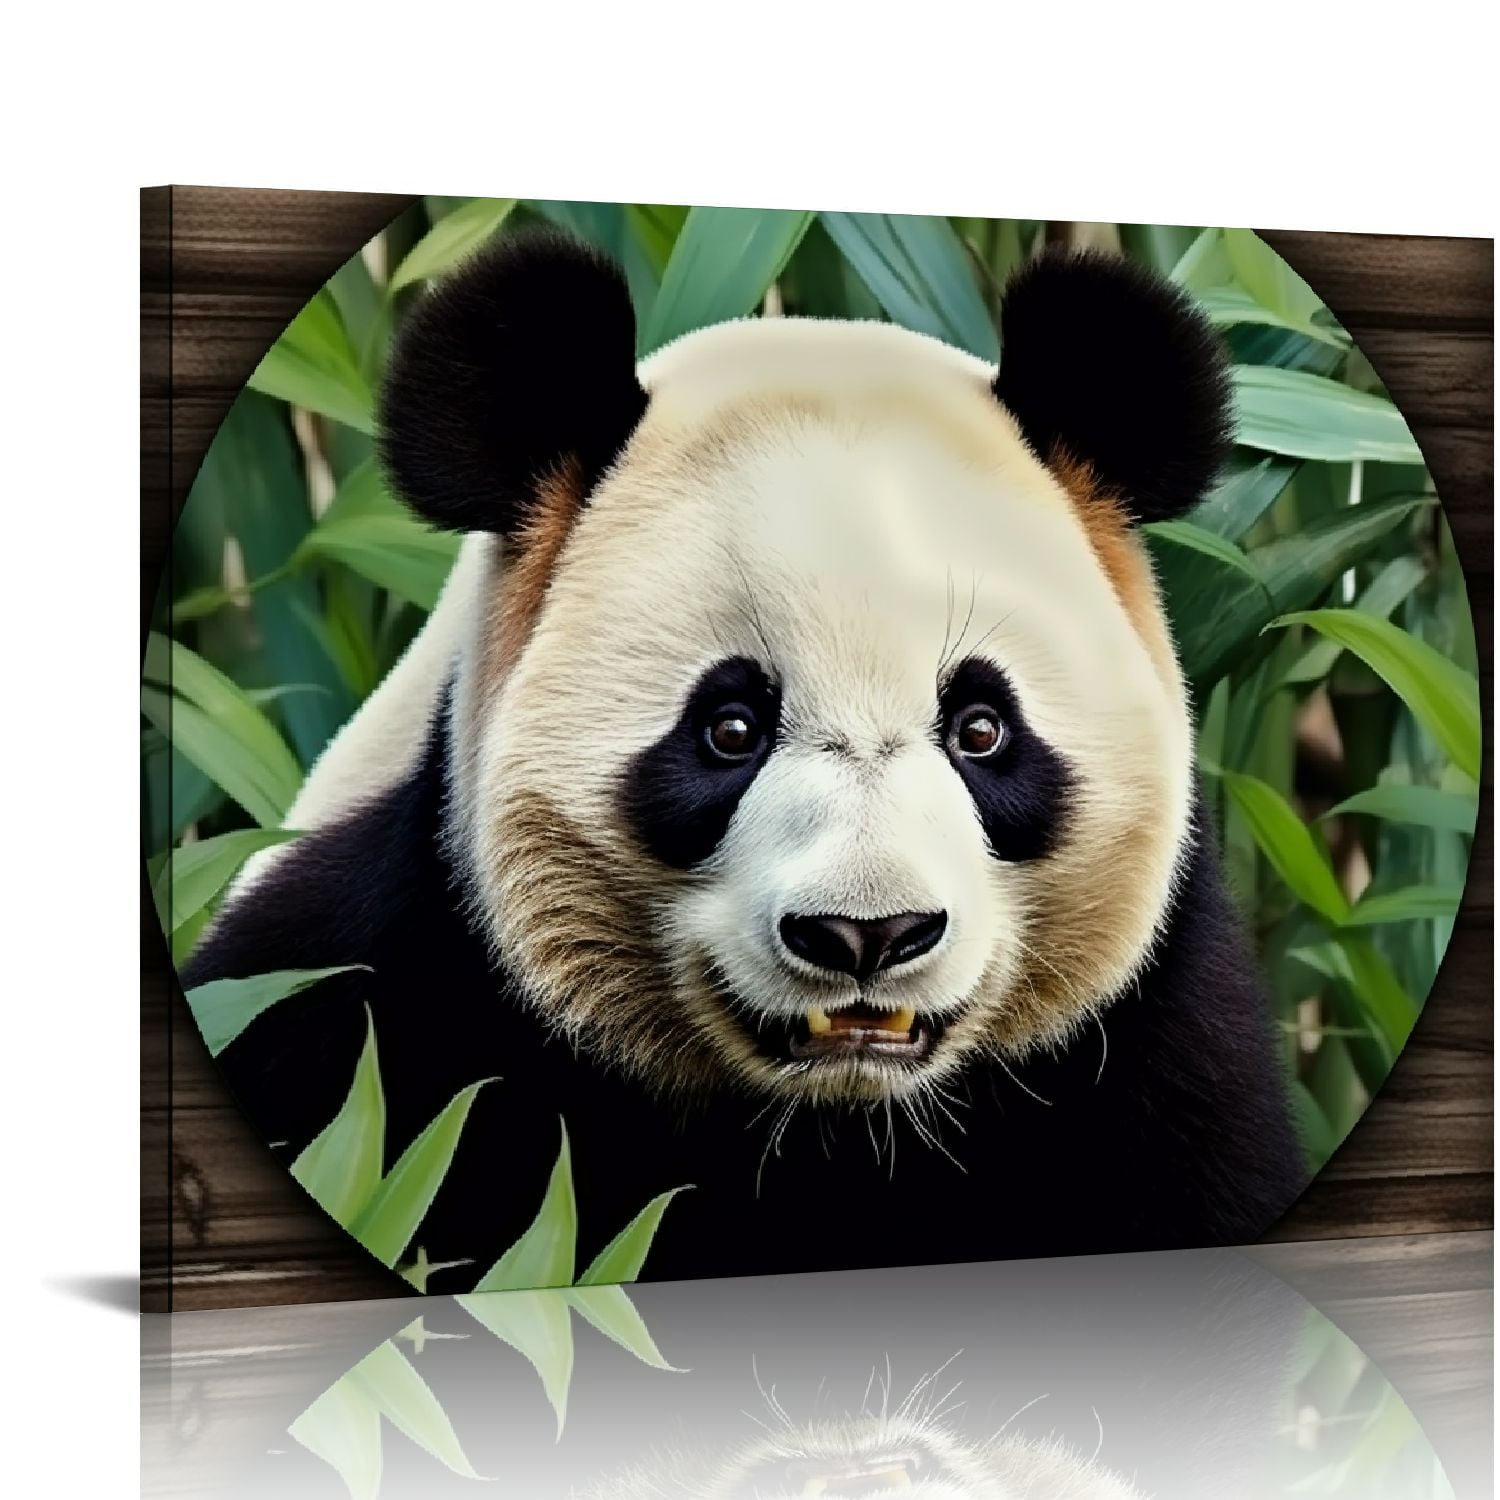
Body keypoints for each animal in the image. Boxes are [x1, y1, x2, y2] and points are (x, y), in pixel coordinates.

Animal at [183, 229, 1306, 1289]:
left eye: (980, 728)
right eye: (730, 728)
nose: (867, 934)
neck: (835, 1131)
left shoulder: (1155, 1061)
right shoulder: (362, 998)